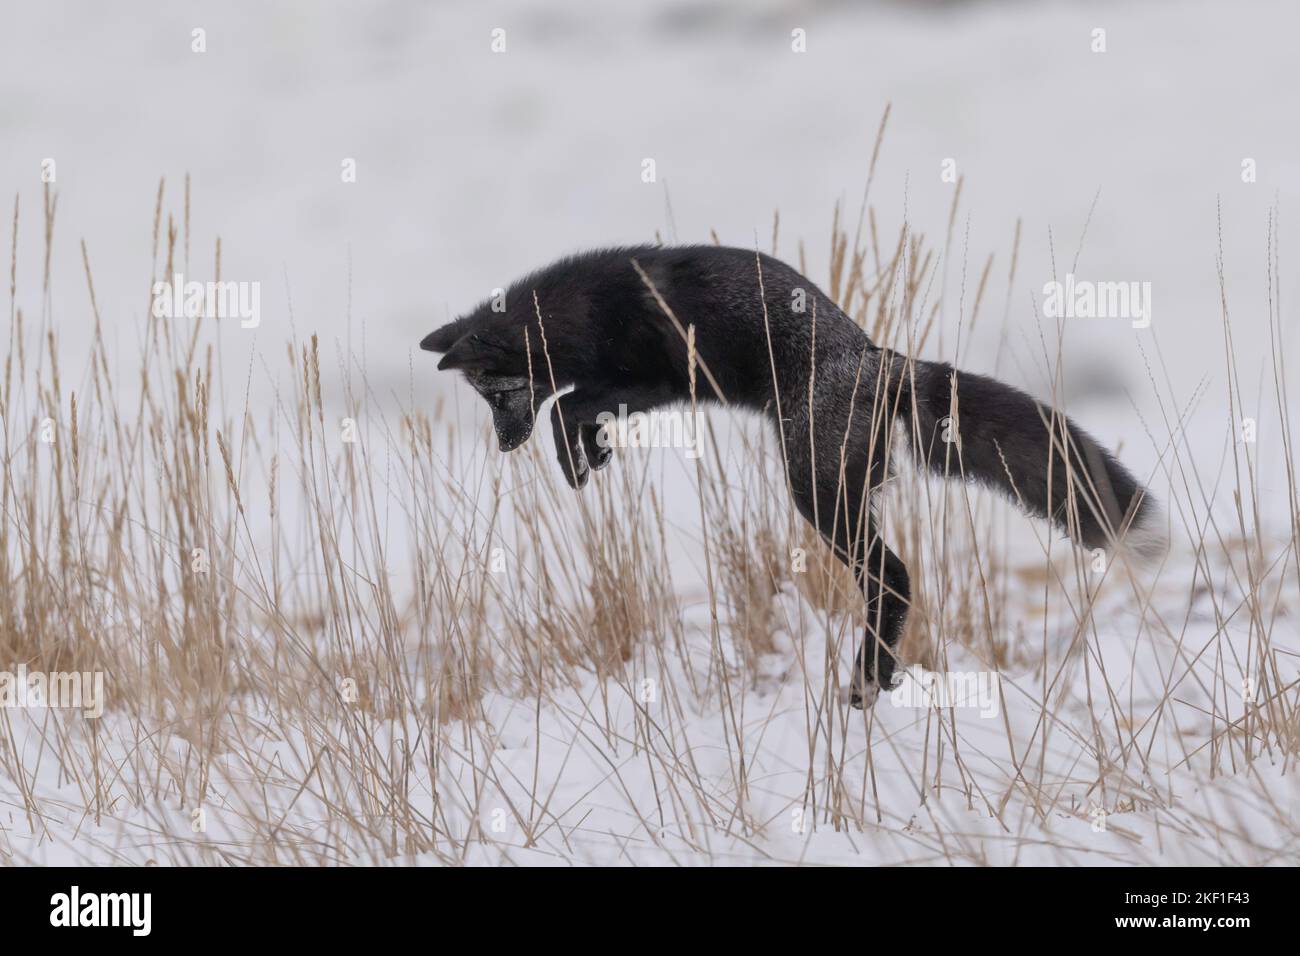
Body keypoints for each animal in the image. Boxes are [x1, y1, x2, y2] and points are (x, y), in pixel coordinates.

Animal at [421, 245, 1166, 707]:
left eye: (497, 396)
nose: (504, 445)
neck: (586, 311)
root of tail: (878, 358)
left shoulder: (658, 377)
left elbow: (570, 405)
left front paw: (575, 458)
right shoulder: (645, 388)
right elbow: (579, 406)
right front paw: (590, 454)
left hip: (819, 495)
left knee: (894, 577)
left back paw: (867, 682)